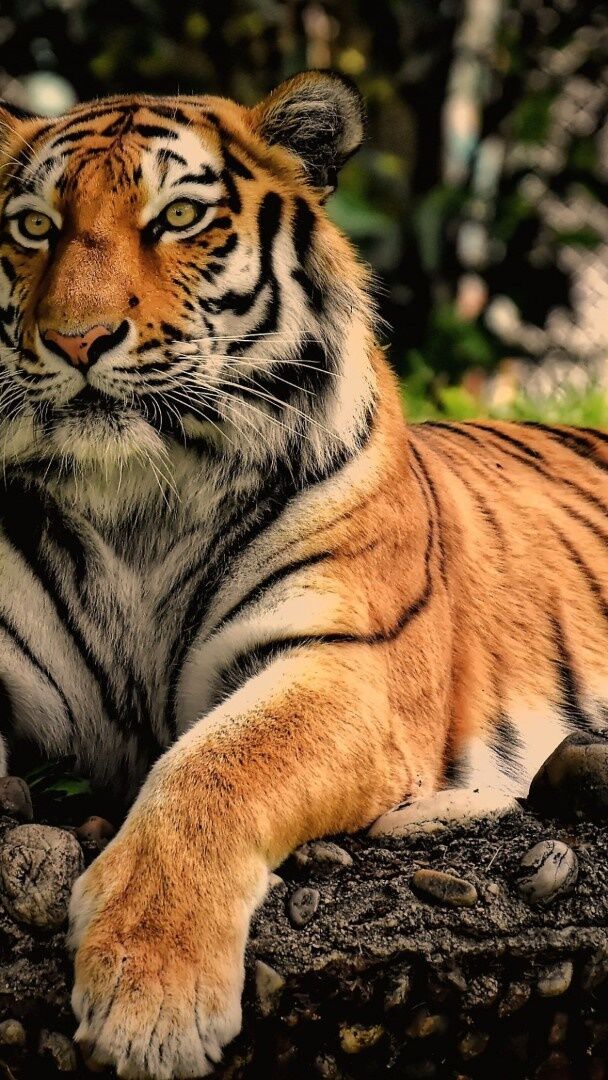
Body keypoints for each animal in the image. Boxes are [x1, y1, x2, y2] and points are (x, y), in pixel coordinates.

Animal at [0, 69, 607, 1079]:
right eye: (34, 227)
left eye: (179, 215)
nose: (77, 340)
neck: (136, 500)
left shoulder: (343, 663)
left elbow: (216, 767)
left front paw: (148, 996)